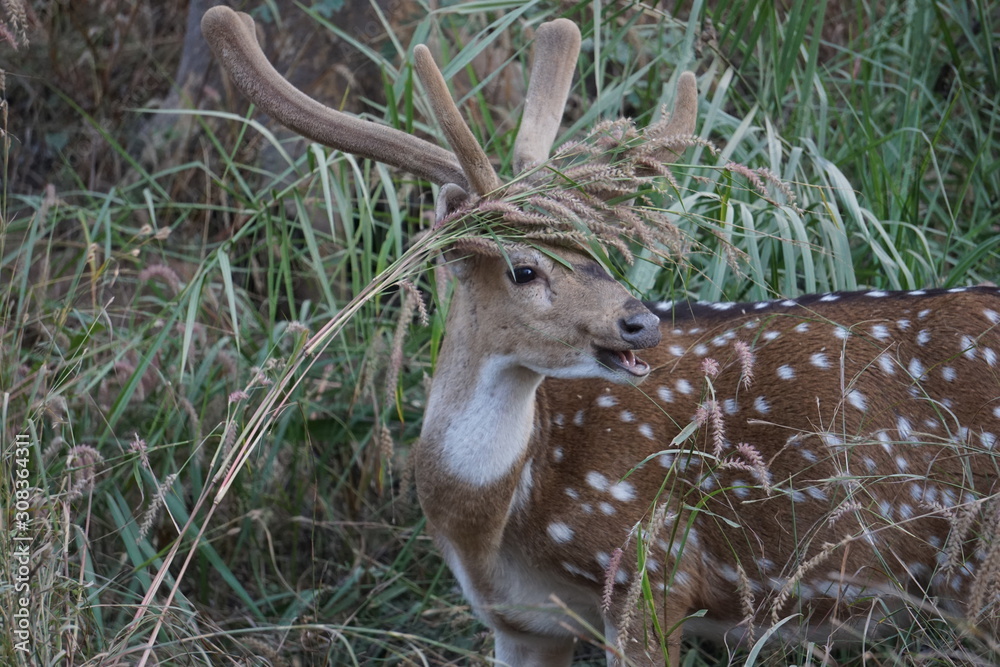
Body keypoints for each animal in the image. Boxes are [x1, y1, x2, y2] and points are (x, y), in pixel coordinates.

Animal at [202, 6, 1000, 666]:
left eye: (596, 250)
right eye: (524, 268)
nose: (640, 320)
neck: (493, 523)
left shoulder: (651, 571)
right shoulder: (521, 623)